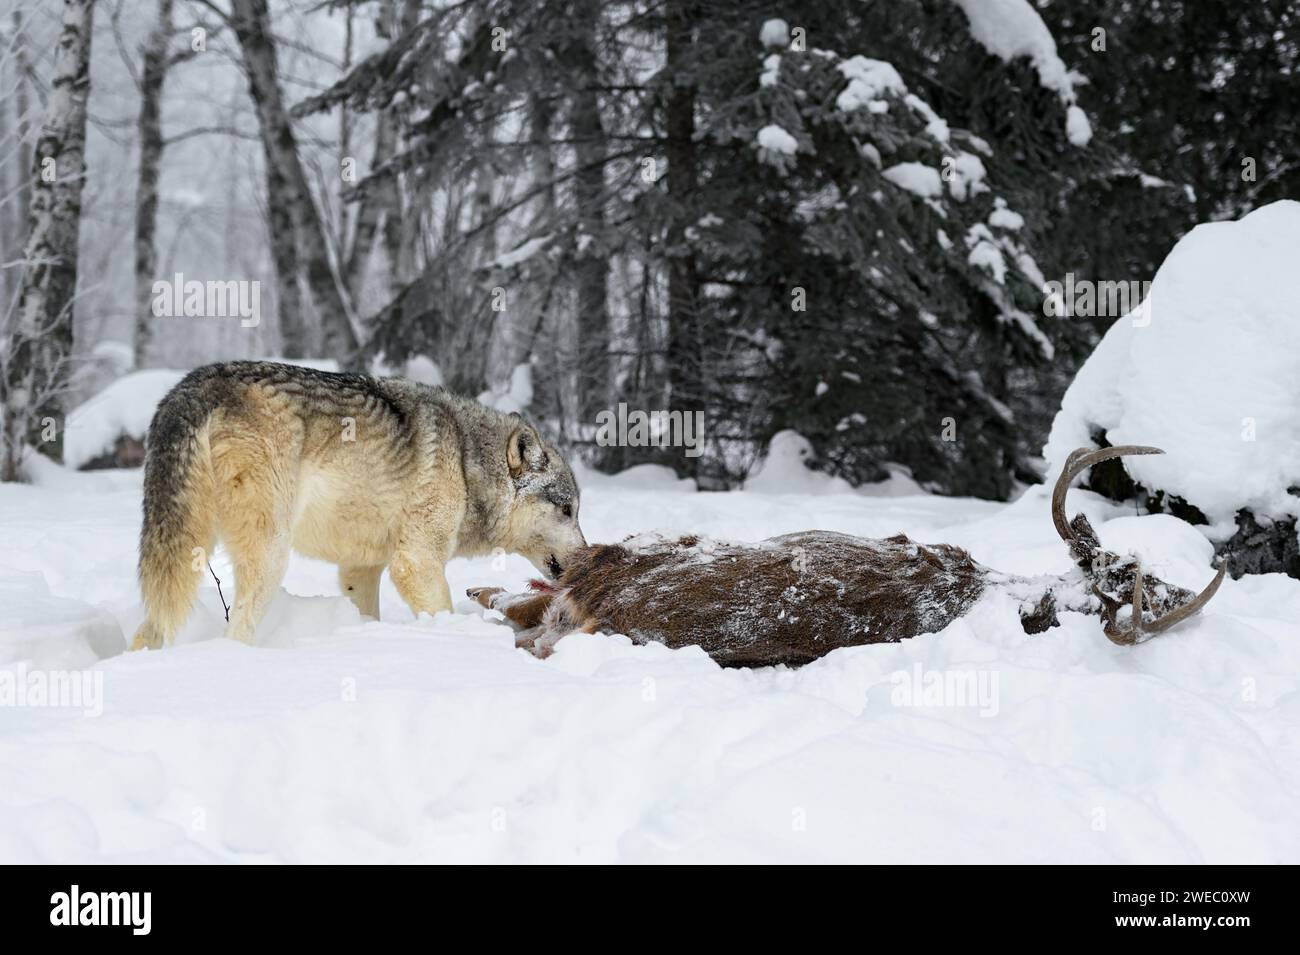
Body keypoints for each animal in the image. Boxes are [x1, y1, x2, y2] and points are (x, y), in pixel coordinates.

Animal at [131, 361, 586, 649]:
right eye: (568, 511)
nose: (586, 557)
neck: (466, 460)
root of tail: (195, 386)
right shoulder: (415, 562)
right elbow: (440, 608)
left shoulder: (360, 569)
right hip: (270, 556)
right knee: (237, 629)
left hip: (185, 550)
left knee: (149, 629)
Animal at [467, 446, 1227, 667]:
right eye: (1139, 575)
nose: (1187, 592)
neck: (1004, 595)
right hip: (634, 550)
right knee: (523, 601)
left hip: (620, 561)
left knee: (524, 609)